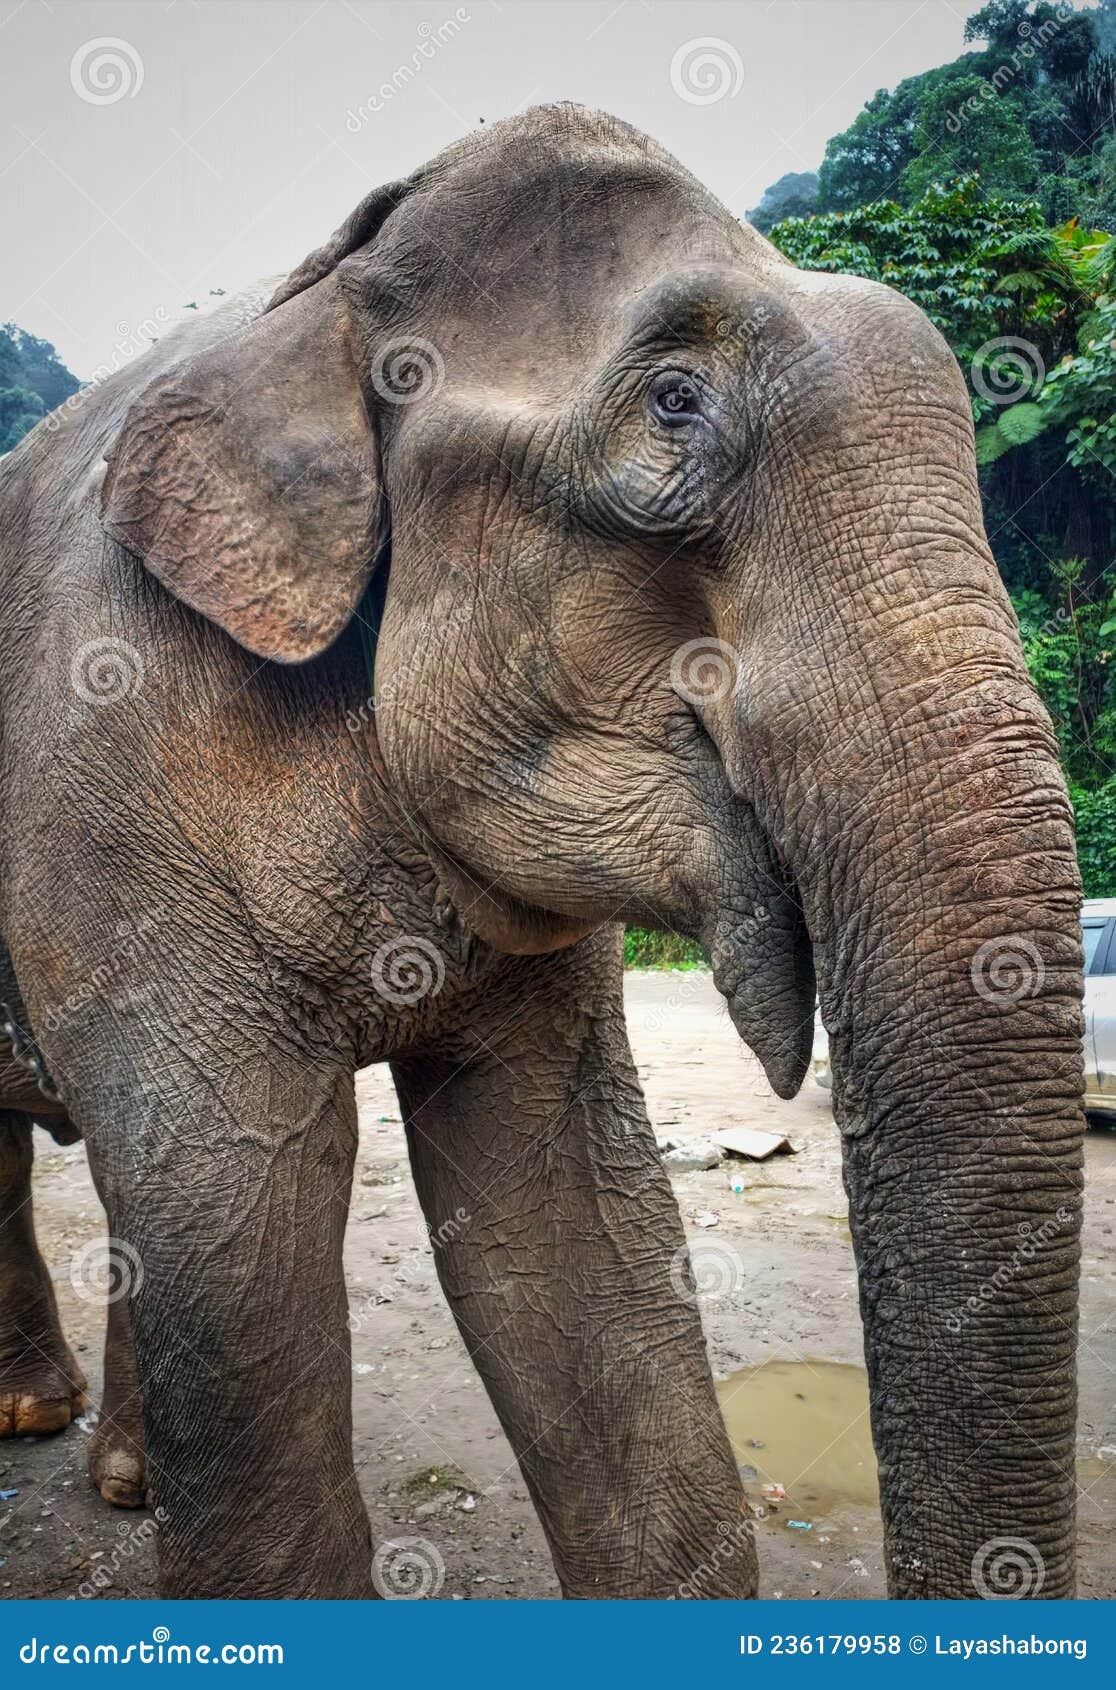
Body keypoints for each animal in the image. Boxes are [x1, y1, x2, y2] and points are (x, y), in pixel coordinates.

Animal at [0, 104, 1084, 1601]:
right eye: (676, 403)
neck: (320, 286)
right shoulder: (102, 767)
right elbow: (232, 1204)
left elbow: (569, 1224)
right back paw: (38, 1420)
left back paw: (118, 1476)